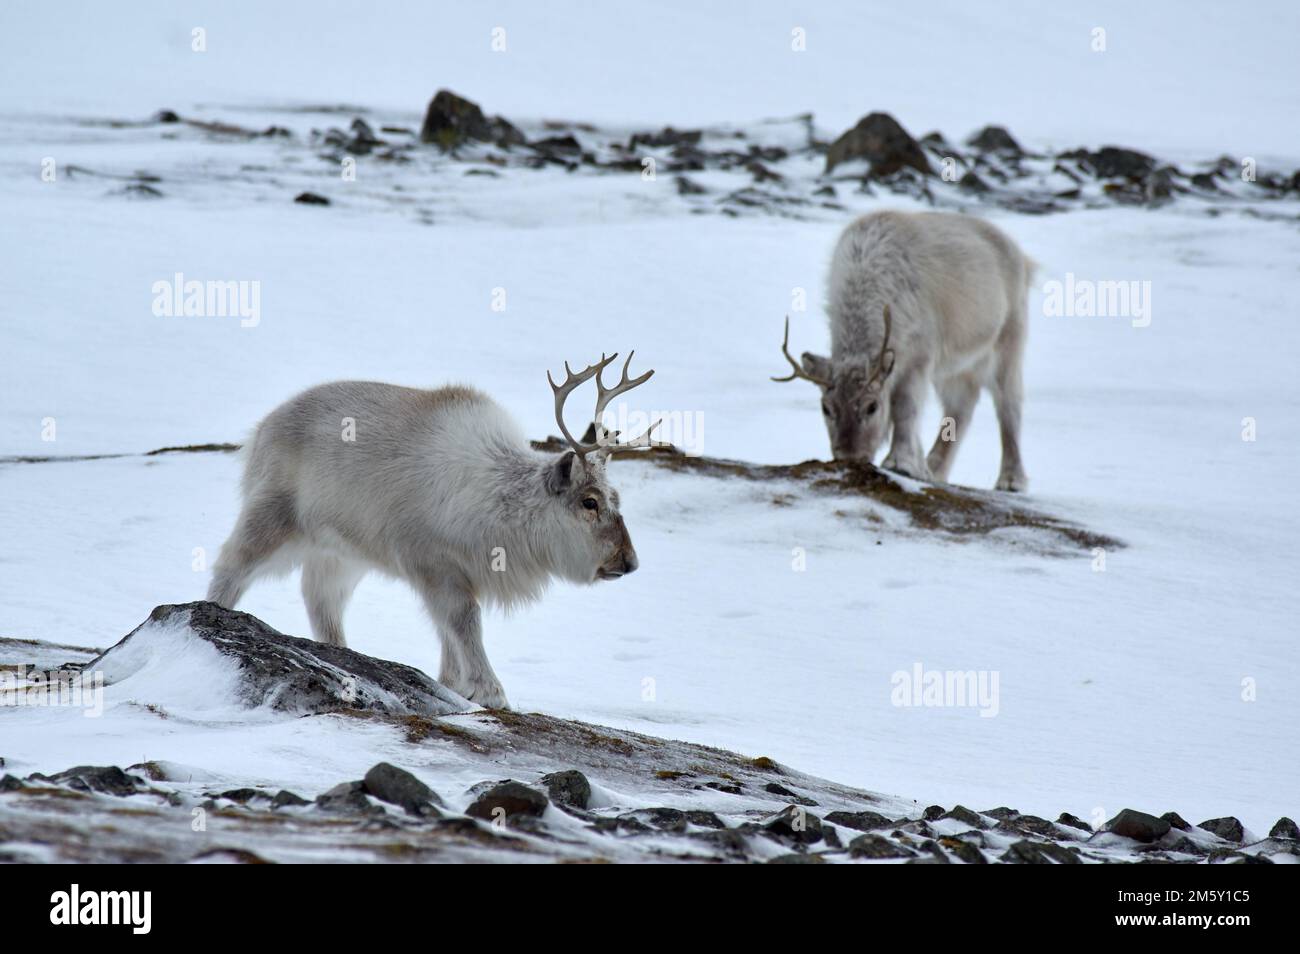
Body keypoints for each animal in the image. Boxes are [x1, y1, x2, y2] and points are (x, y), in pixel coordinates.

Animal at [206, 353, 658, 710]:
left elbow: (448, 631)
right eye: (589, 502)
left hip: (341, 554)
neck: (502, 500)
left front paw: (454, 684)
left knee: (321, 598)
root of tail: (260, 430)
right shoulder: (434, 565)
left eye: (615, 496)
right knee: (231, 565)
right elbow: (464, 622)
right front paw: (492, 692)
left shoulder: (456, 575)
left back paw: (340, 652)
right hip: (273, 517)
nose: (630, 561)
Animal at [773, 210, 1032, 491]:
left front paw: (901, 463)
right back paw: (935, 469)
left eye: (872, 407)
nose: (850, 457)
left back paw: (1011, 480)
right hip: (956, 368)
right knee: (961, 407)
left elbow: (905, 407)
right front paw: (919, 467)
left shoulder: (920, 354)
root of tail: (1024, 258)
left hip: (1008, 340)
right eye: (826, 408)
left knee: (1009, 406)